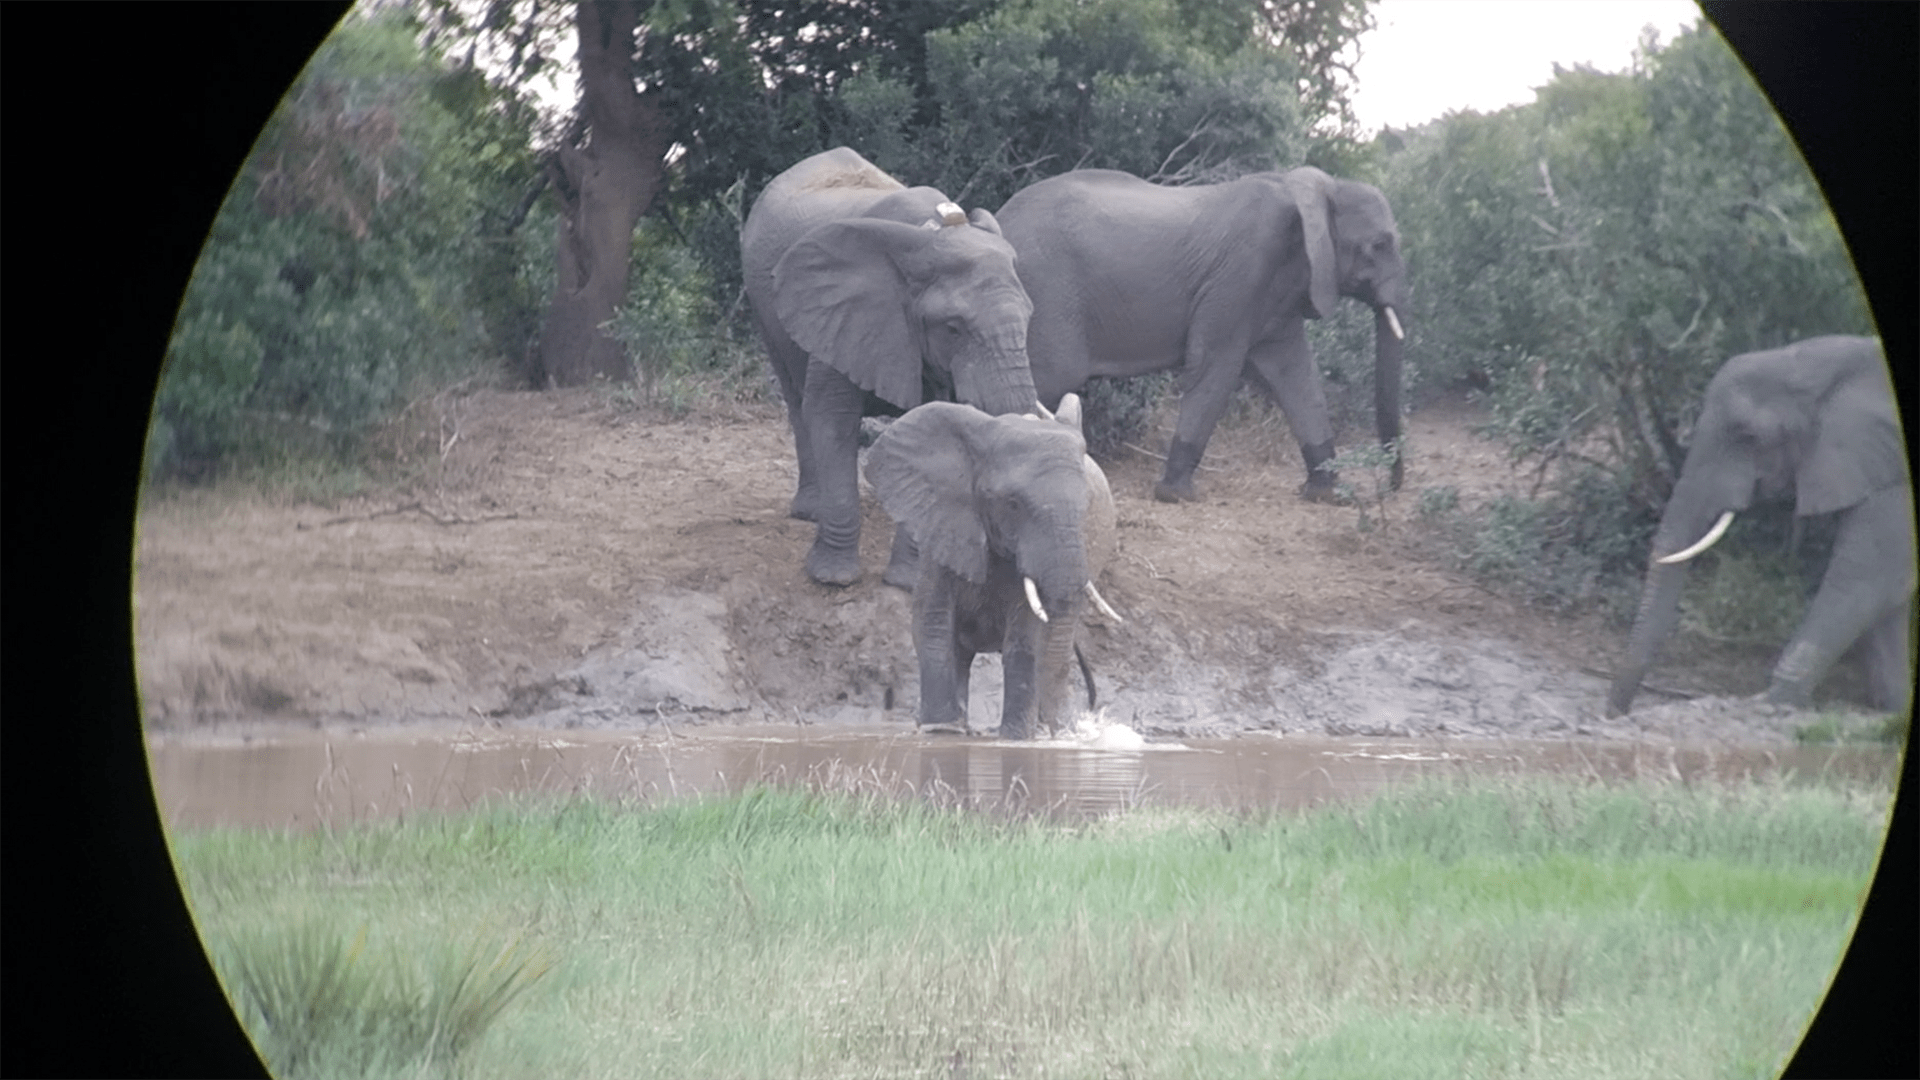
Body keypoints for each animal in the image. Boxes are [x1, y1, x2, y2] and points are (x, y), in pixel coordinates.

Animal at [742, 147, 1043, 587]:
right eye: (953, 328)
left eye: (1029, 318)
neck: (930, 236)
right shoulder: (844, 314)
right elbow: (831, 418)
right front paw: (832, 579)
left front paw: (906, 582)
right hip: (764, 306)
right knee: (797, 403)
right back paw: (809, 512)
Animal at [865, 394, 1123, 739]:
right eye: (1013, 504)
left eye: (1088, 505)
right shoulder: (943, 525)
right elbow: (932, 624)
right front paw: (940, 731)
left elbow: (1025, 641)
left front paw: (1015, 739)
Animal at [994, 166, 1409, 503]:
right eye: (1379, 245)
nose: (1388, 489)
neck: (1321, 190)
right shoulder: (1240, 273)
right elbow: (1214, 366)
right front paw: (1176, 496)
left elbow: (1295, 376)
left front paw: (1327, 495)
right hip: (1047, 298)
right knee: (1046, 378)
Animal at [1607, 335, 1914, 717]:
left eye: (1749, 435)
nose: (1615, 713)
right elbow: (1888, 594)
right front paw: (1894, 710)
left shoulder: (1896, 484)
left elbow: (1870, 579)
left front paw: (1772, 702)